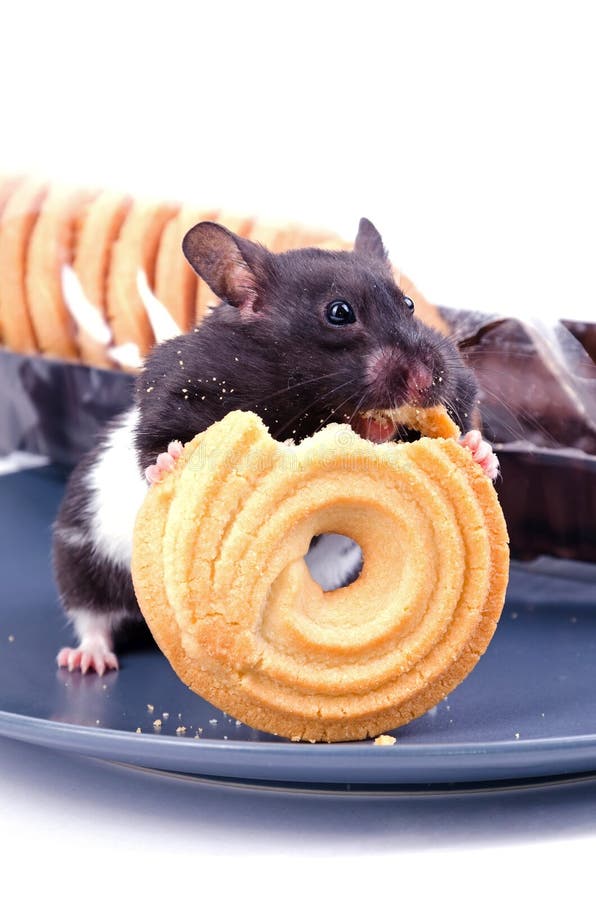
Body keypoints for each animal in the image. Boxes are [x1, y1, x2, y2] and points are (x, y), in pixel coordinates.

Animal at [53, 217, 498, 675]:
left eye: (408, 304)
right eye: (339, 312)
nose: (429, 380)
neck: (306, 408)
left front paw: (478, 451)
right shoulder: (173, 387)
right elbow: (157, 442)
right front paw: (172, 461)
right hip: (82, 557)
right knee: (92, 615)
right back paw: (86, 660)